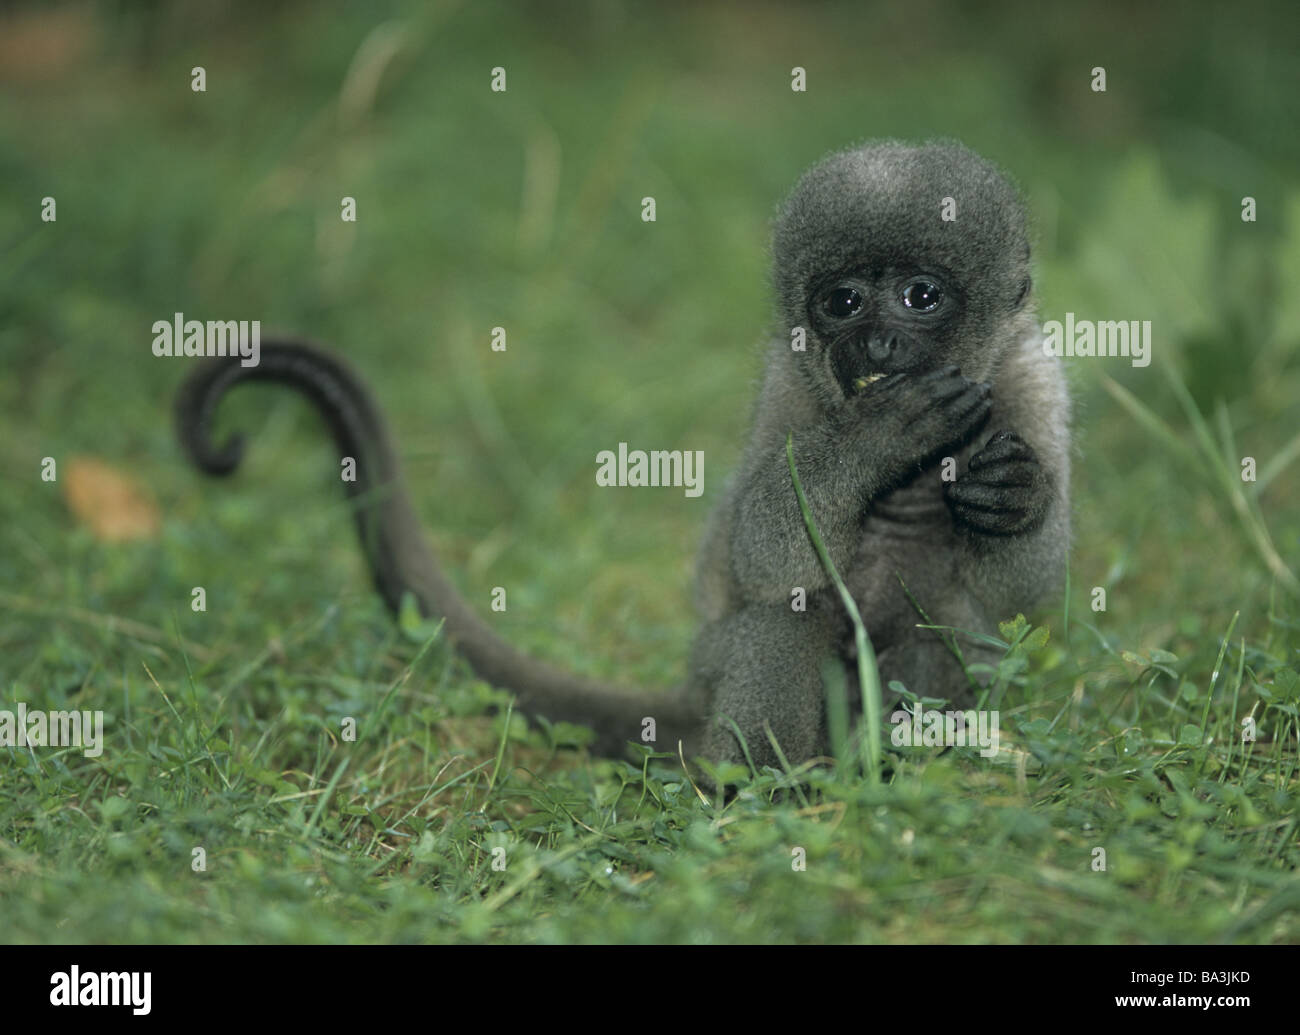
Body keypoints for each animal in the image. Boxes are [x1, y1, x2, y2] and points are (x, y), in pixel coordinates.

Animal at [175, 139, 1069, 775]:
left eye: (920, 295)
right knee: (787, 618)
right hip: (711, 669)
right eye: (843, 301)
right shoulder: (789, 380)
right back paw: (759, 788)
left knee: (941, 623)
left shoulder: (1032, 375)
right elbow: (763, 558)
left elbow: (1022, 596)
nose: (877, 343)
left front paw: (1017, 492)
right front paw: (878, 433)